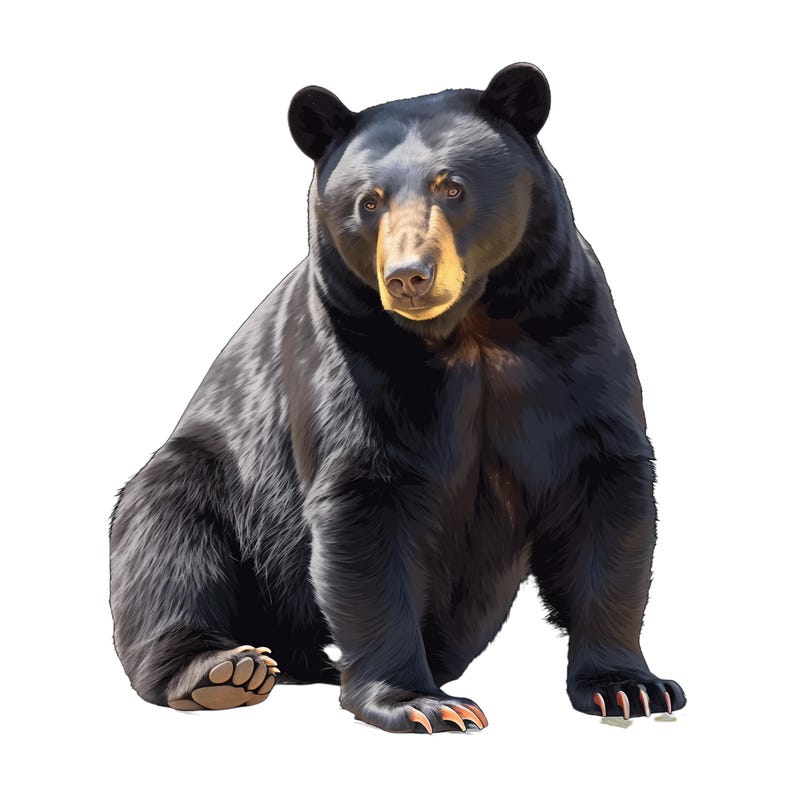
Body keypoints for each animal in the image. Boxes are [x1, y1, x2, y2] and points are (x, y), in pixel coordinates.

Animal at [109, 62, 686, 731]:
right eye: (368, 202)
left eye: (453, 188)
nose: (409, 276)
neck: (471, 331)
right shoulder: (354, 358)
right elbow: (366, 505)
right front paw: (422, 703)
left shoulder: (572, 343)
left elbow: (603, 494)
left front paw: (629, 686)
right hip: (204, 480)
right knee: (169, 551)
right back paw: (222, 671)